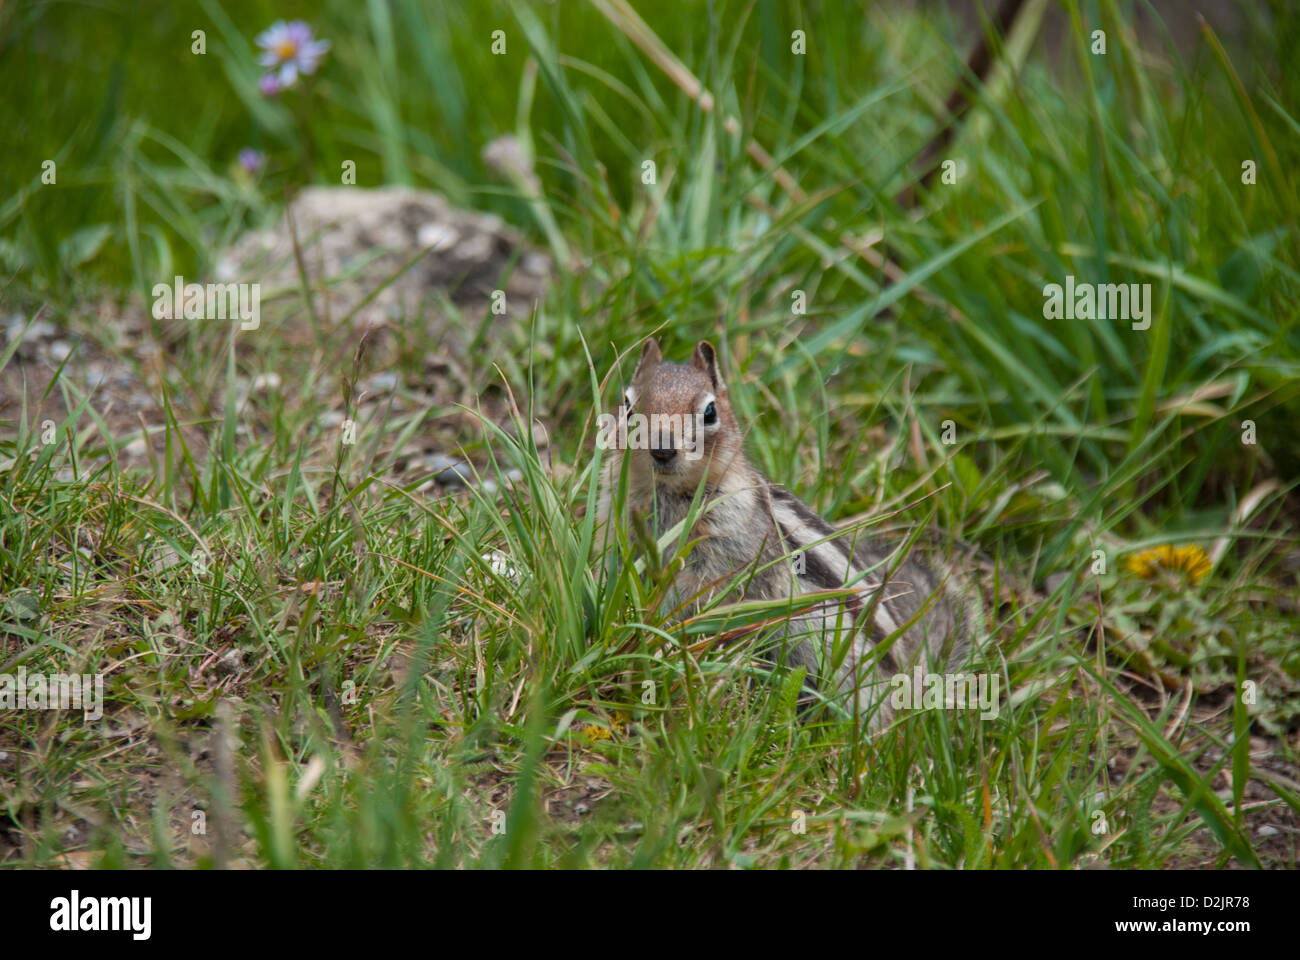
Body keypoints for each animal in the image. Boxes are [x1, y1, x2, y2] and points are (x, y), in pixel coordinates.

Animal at [595, 338, 982, 729]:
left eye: (709, 412)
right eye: (627, 403)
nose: (662, 449)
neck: (670, 494)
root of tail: (911, 675)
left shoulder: (734, 551)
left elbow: (706, 592)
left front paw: (663, 621)